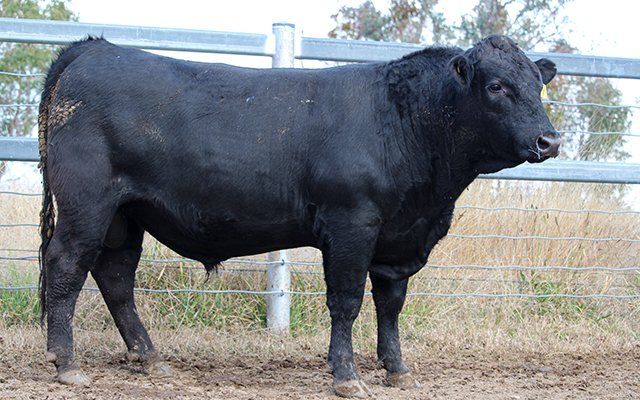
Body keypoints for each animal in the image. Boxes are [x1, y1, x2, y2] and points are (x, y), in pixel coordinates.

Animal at [37, 34, 560, 397]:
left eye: (538, 84)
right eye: (496, 86)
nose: (549, 140)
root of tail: (94, 48)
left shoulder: (400, 239)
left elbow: (391, 305)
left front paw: (397, 370)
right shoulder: (352, 223)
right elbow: (347, 301)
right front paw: (346, 376)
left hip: (126, 217)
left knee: (116, 278)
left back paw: (150, 359)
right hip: (88, 204)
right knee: (66, 266)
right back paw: (66, 364)